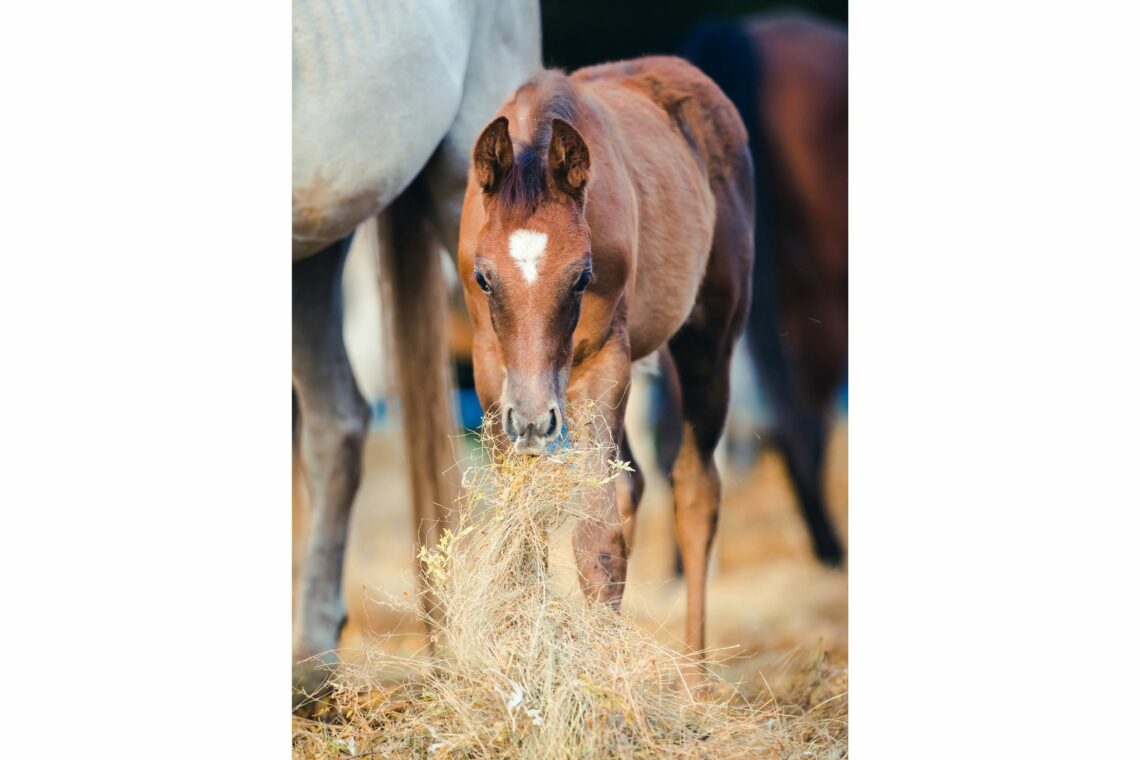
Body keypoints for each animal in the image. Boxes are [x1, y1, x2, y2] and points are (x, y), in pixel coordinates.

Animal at [457, 57, 754, 675]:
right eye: (484, 278)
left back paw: (696, 680)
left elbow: (597, 541)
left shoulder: (602, 364)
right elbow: (523, 536)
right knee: (633, 484)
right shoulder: (491, 375)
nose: (534, 421)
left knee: (695, 491)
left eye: (582, 277)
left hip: (708, 341)